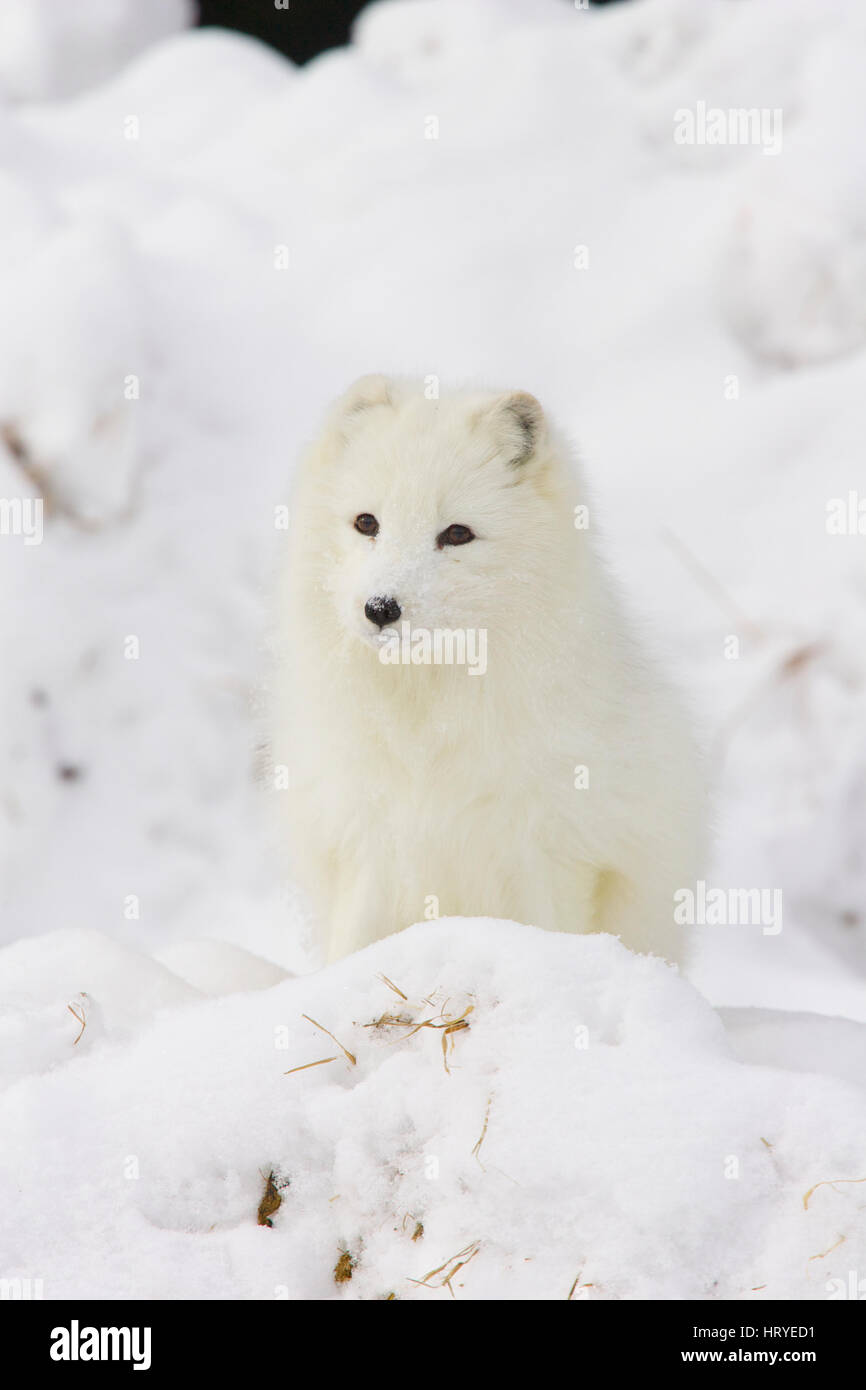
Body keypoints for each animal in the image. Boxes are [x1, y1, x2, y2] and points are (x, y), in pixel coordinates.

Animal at [272, 375, 704, 965]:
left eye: (457, 534)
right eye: (367, 523)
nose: (380, 608)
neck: (426, 726)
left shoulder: (550, 852)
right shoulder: (371, 841)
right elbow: (352, 946)